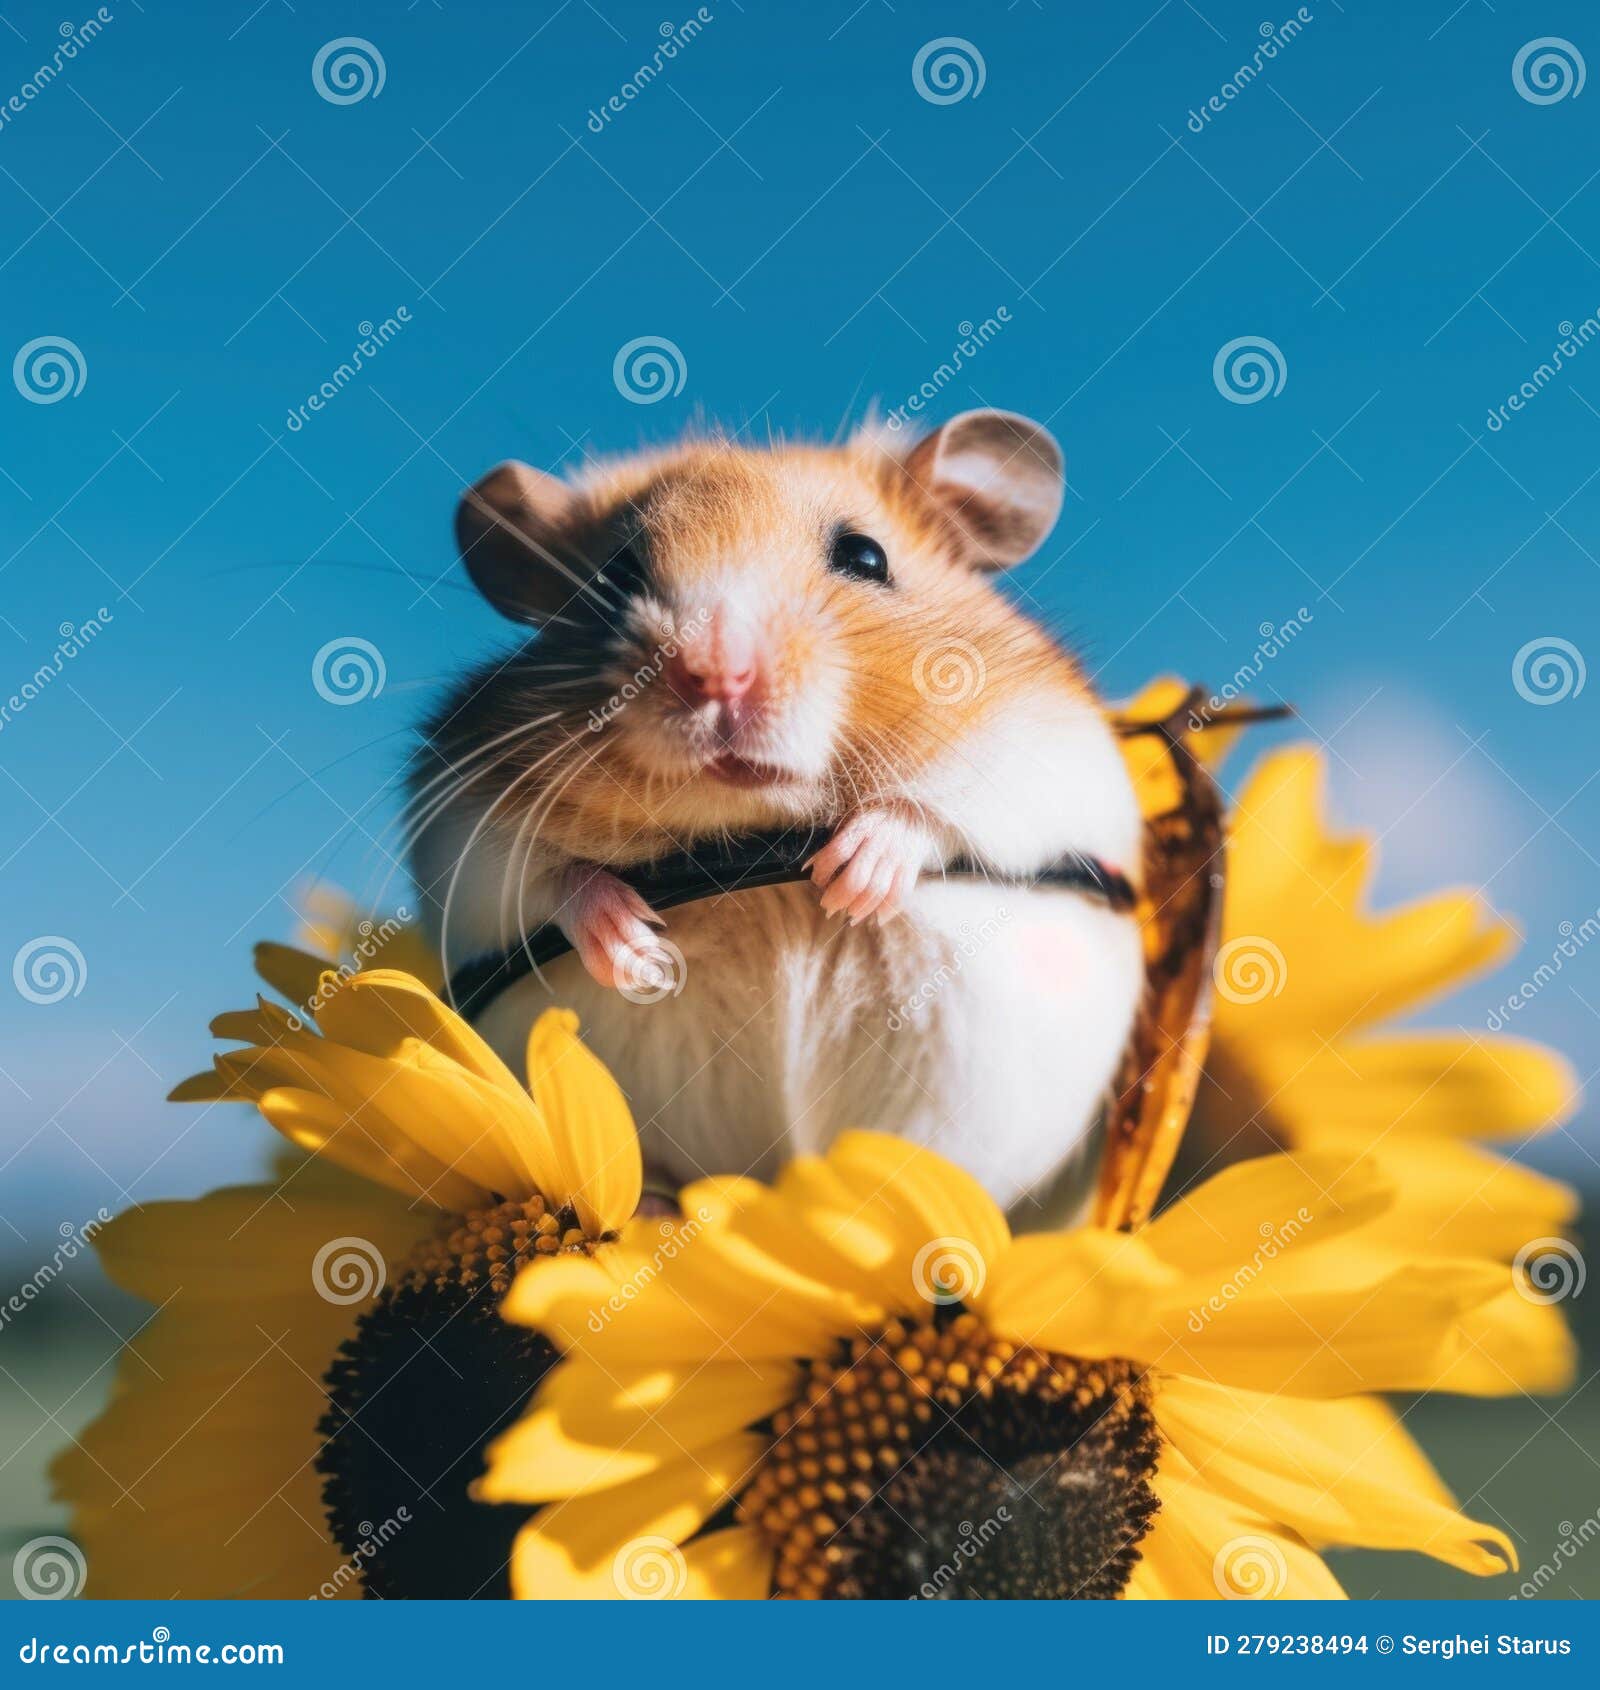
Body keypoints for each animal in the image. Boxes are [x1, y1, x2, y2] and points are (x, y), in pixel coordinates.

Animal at [408, 410, 1145, 1218]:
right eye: (615, 577)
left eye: (865, 556)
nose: (715, 674)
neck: (751, 819)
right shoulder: (460, 829)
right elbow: (549, 878)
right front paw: (634, 952)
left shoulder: (1051, 753)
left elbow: (934, 811)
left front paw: (852, 880)